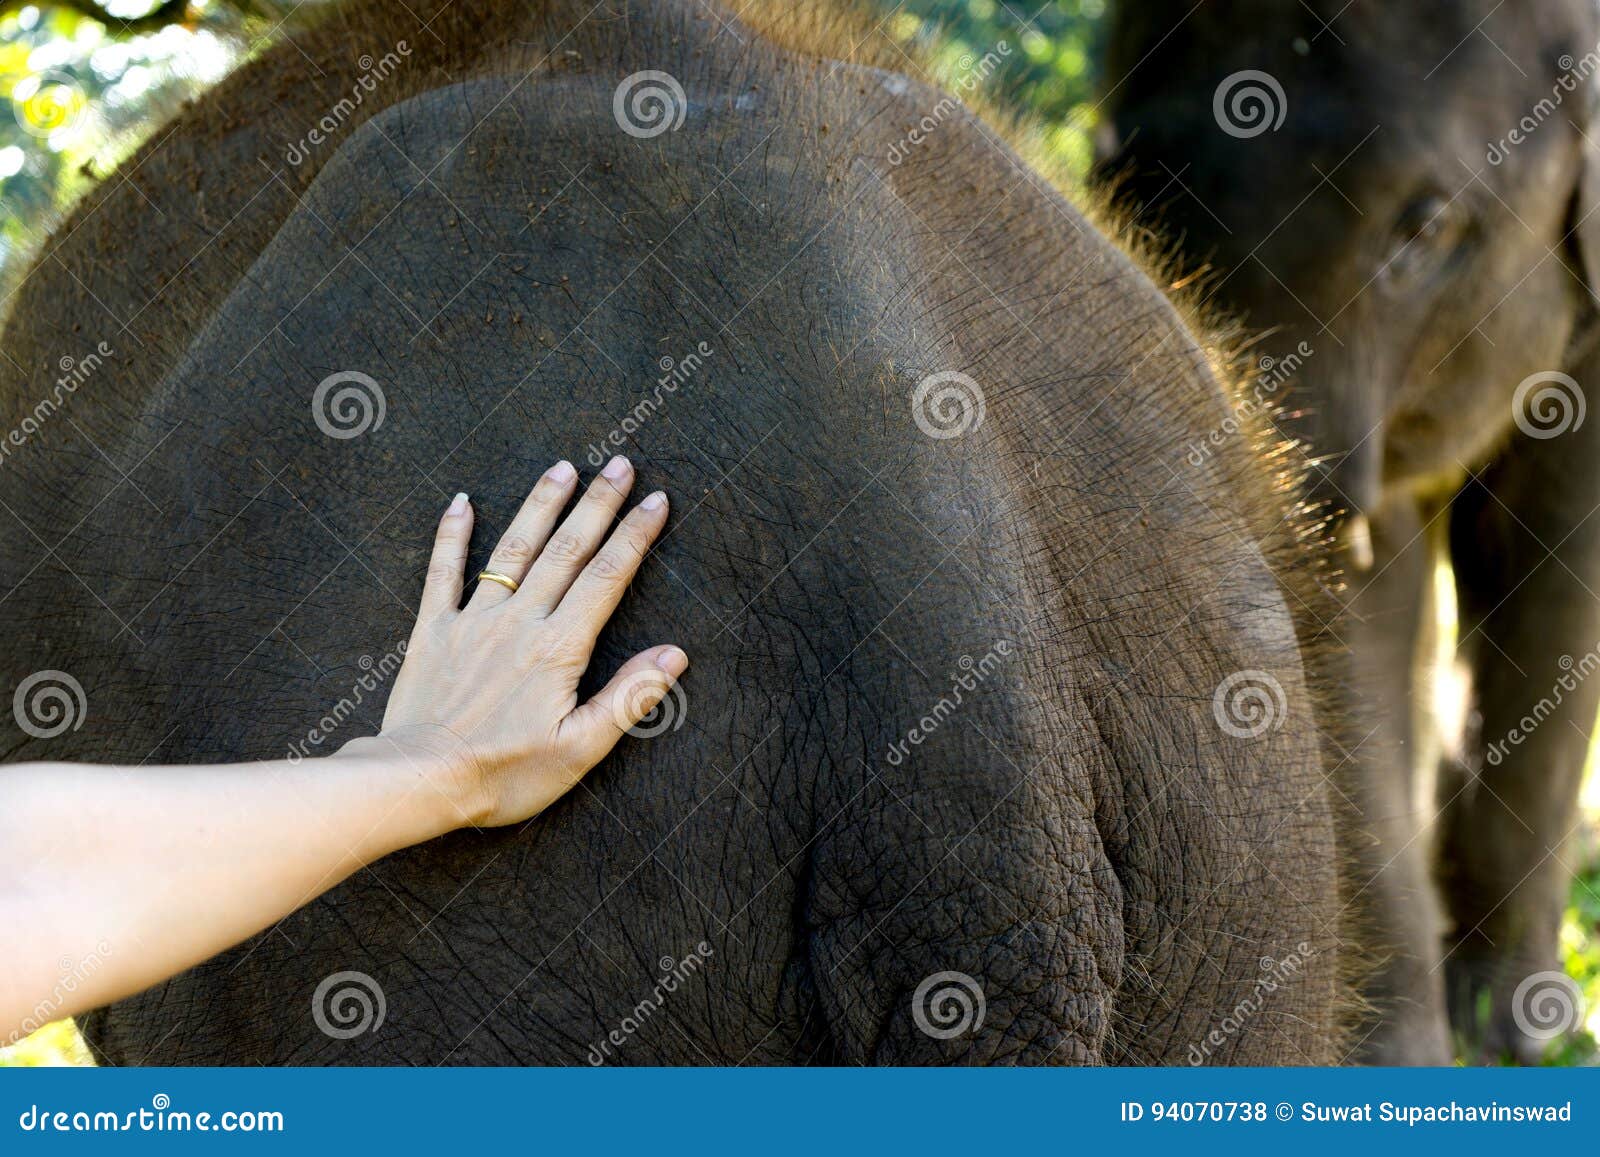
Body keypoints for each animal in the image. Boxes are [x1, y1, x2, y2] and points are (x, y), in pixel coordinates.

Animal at [1096, 0, 1600, 1064]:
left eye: (1427, 227)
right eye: (1125, 182)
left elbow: (1552, 560)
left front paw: (1515, 1033)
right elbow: (1368, 602)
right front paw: (1399, 1051)